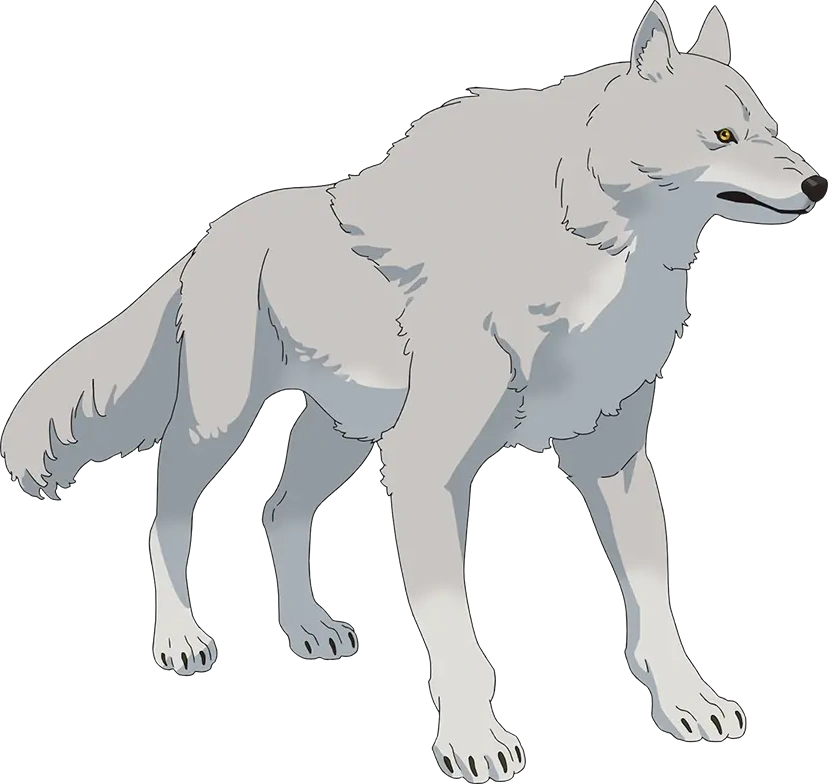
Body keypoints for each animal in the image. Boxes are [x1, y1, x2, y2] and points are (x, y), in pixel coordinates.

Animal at [2, 1, 824, 777]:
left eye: (771, 130)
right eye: (722, 136)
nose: (817, 182)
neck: (583, 257)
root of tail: (214, 232)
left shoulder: (613, 461)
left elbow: (654, 600)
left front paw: (689, 704)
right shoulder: (430, 471)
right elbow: (454, 631)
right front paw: (472, 744)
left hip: (342, 438)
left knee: (278, 512)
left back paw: (308, 630)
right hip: (220, 424)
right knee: (168, 516)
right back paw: (179, 638)